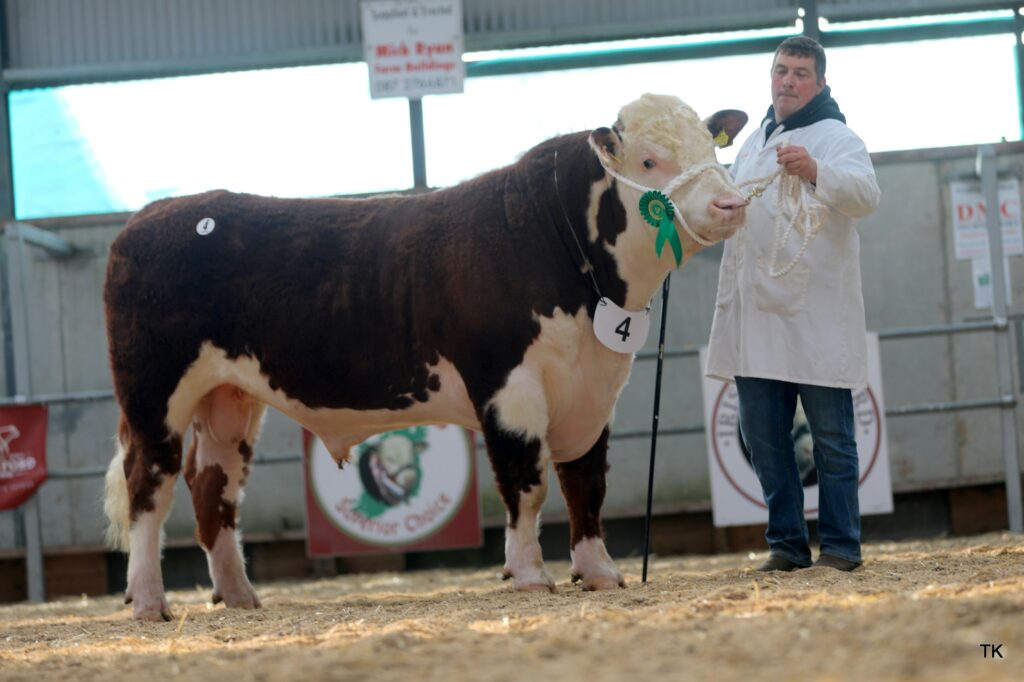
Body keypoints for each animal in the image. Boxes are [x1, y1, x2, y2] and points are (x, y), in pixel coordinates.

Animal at [103, 93, 747, 621]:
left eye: (711, 147)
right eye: (649, 161)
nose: (730, 203)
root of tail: (149, 219)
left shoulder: (592, 390)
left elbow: (586, 482)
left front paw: (600, 573)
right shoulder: (508, 386)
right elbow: (528, 483)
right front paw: (529, 575)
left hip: (227, 400)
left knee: (213, 488)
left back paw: (239, 596)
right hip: (153, 395)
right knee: (149, 486)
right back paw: (150, 602)